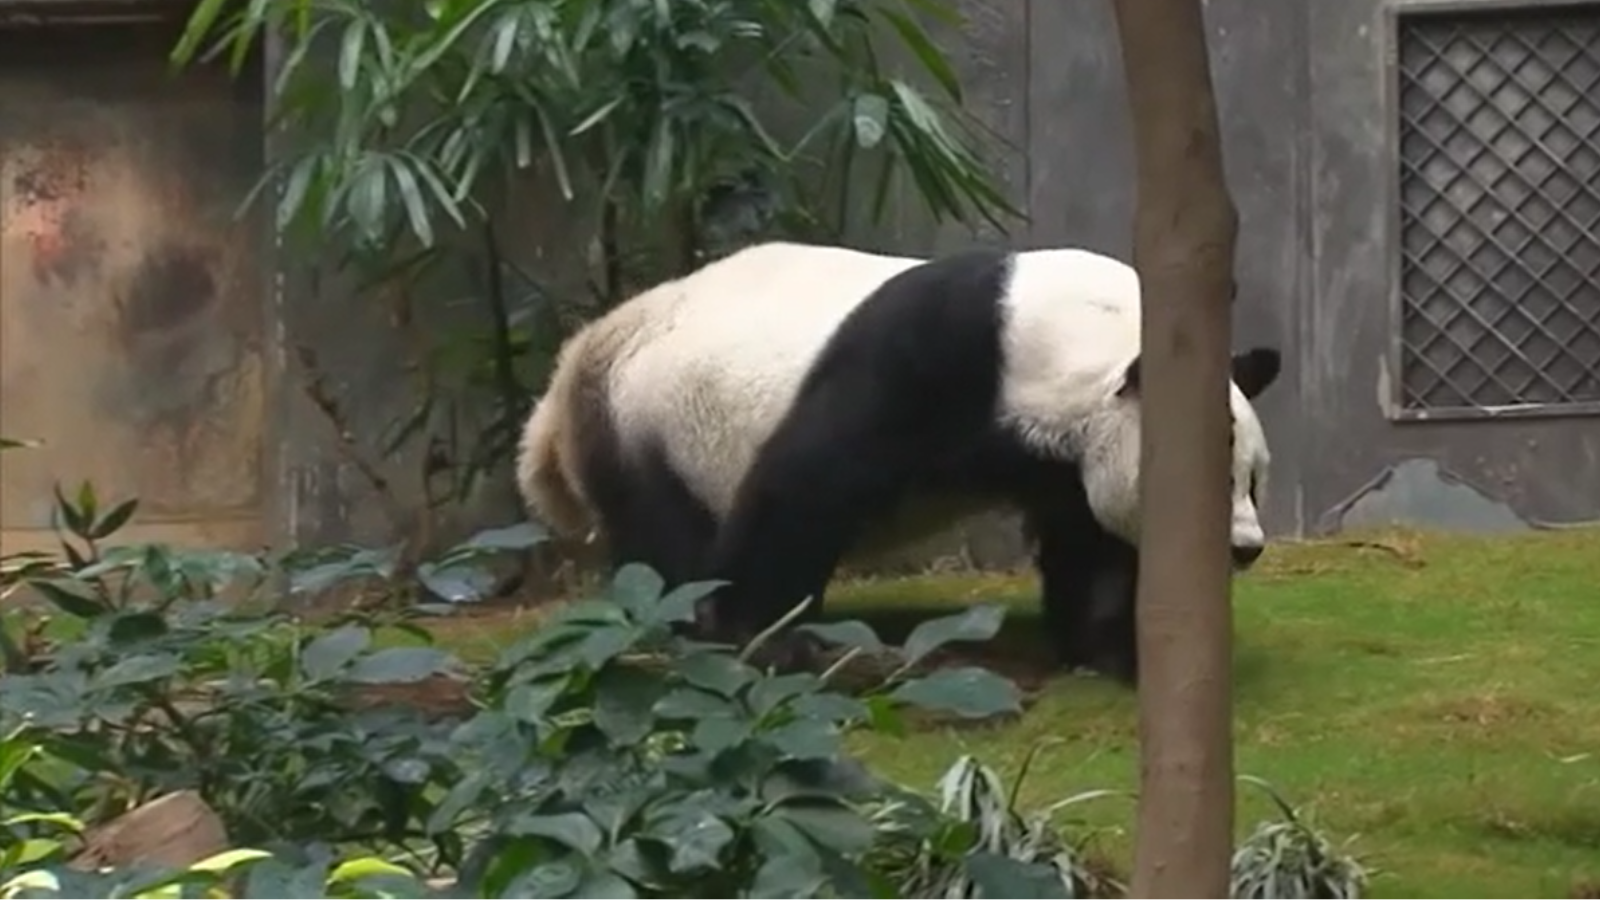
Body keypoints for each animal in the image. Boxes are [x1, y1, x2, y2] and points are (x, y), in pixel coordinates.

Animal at [517, 240, 1282, 684]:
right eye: (1219, 479)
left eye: (1254, 479)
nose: (1245, 548)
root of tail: (572, 368)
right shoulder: (939, 352)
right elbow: (808, 481)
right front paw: (757, 634)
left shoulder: (1068, 453)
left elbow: (1093, 540)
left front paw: (1113, 651)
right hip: (650, 422)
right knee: (665, 538)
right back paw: (696, 622)